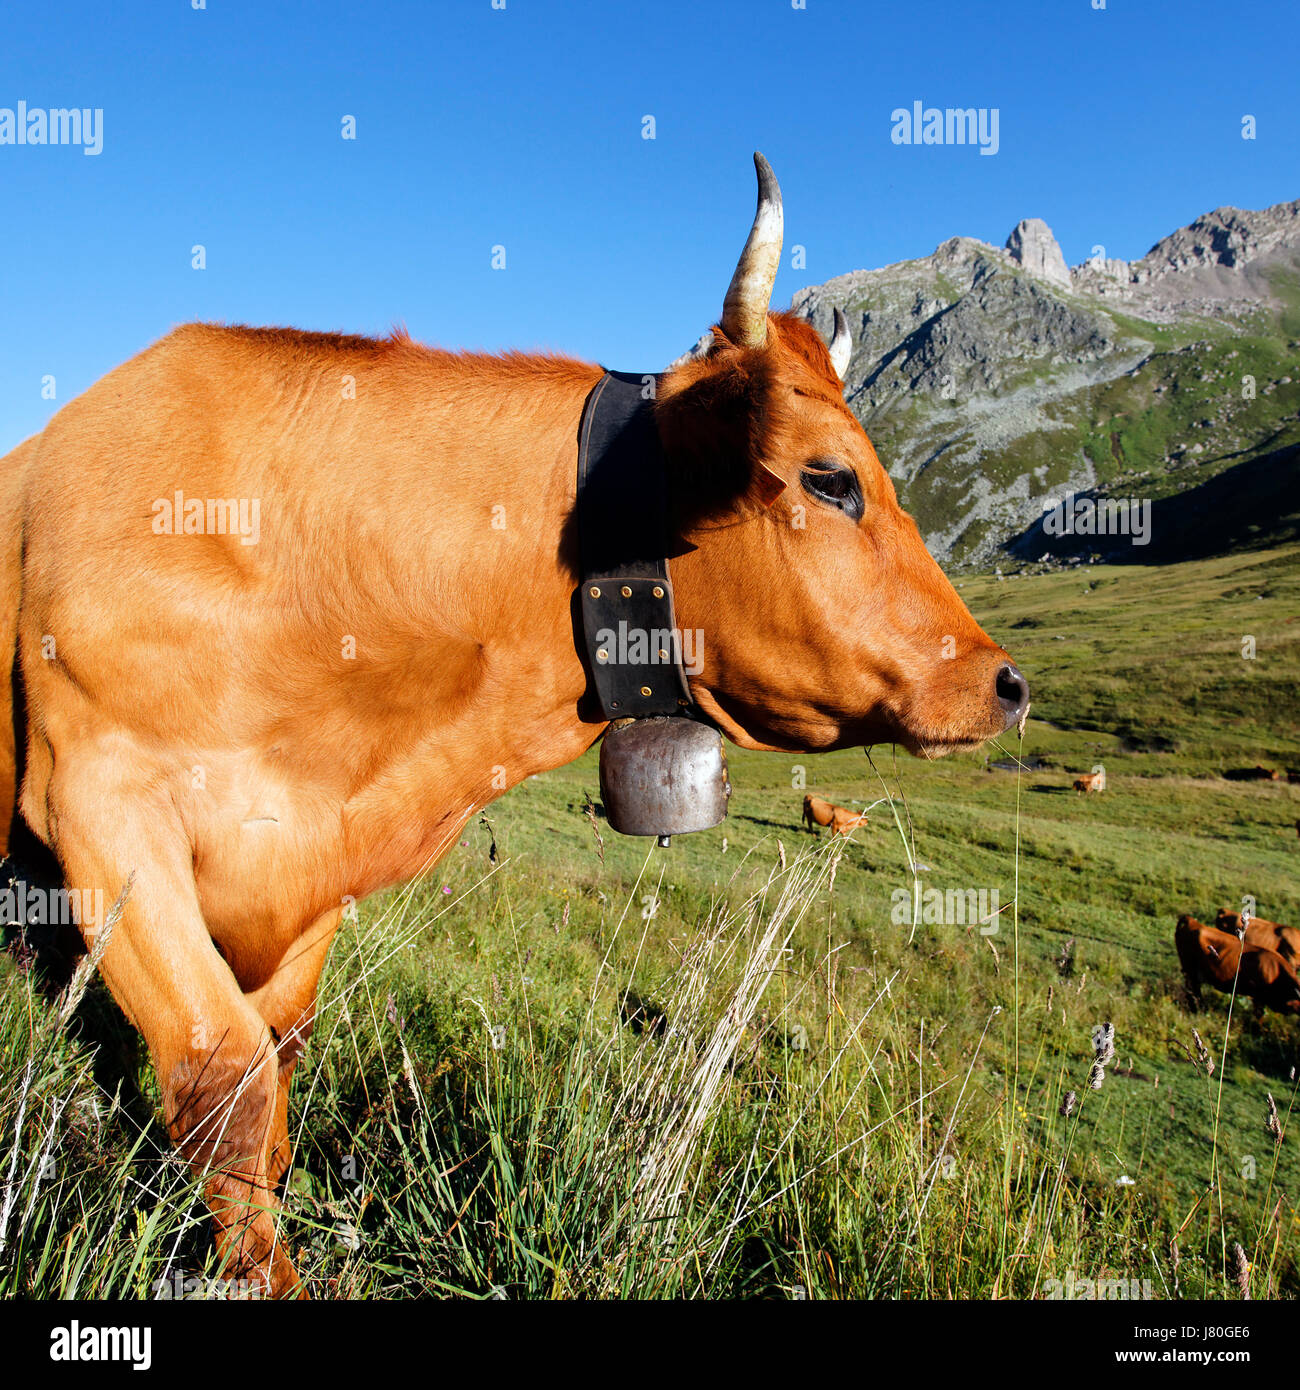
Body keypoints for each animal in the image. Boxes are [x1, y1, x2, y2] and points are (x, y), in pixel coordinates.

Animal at [0, 153, 1028, 1296]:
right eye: (831, 478)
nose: (1003, 681)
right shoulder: (98, 805)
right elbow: (224, 1075)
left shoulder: (310, 874)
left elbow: (276, 1072)